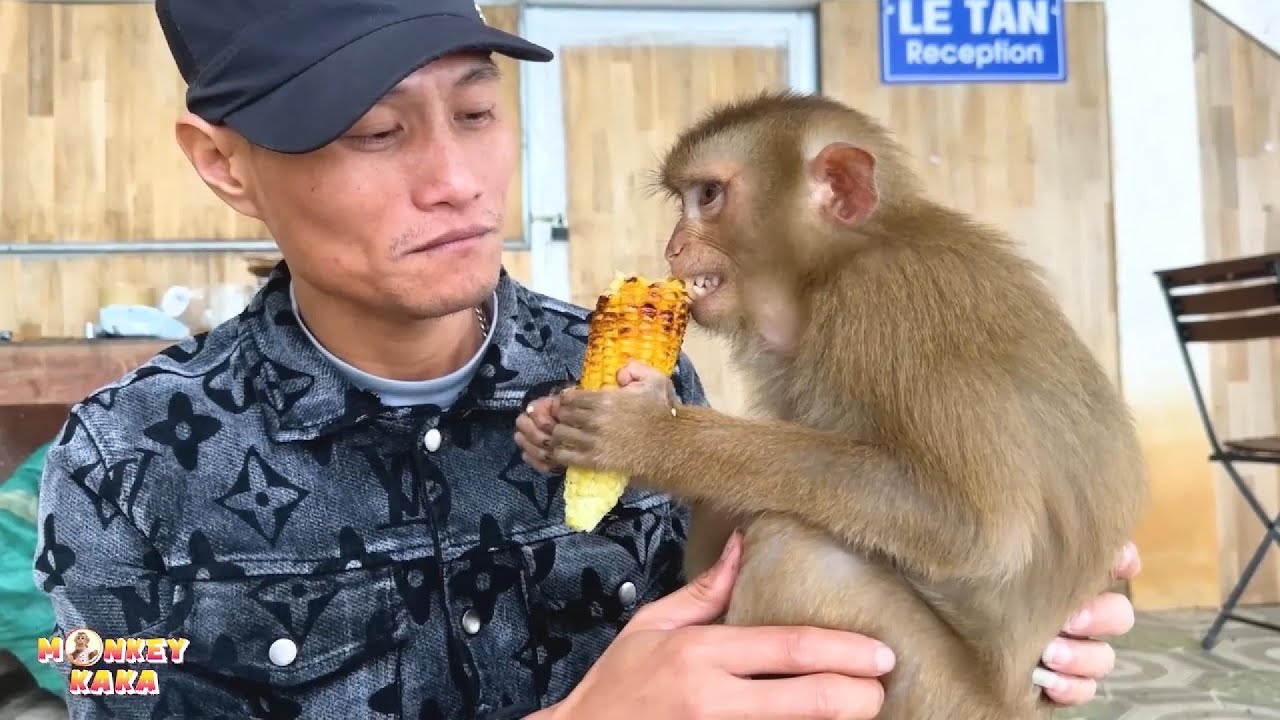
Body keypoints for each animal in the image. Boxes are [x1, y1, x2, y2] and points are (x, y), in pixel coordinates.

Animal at [542, 91, 1149, 719]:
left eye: (707, 195)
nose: (672, 247)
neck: (831, 267)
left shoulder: (889, 301)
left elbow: (977, 526)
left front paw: (648, 433)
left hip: (947, 700)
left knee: (798, 554)